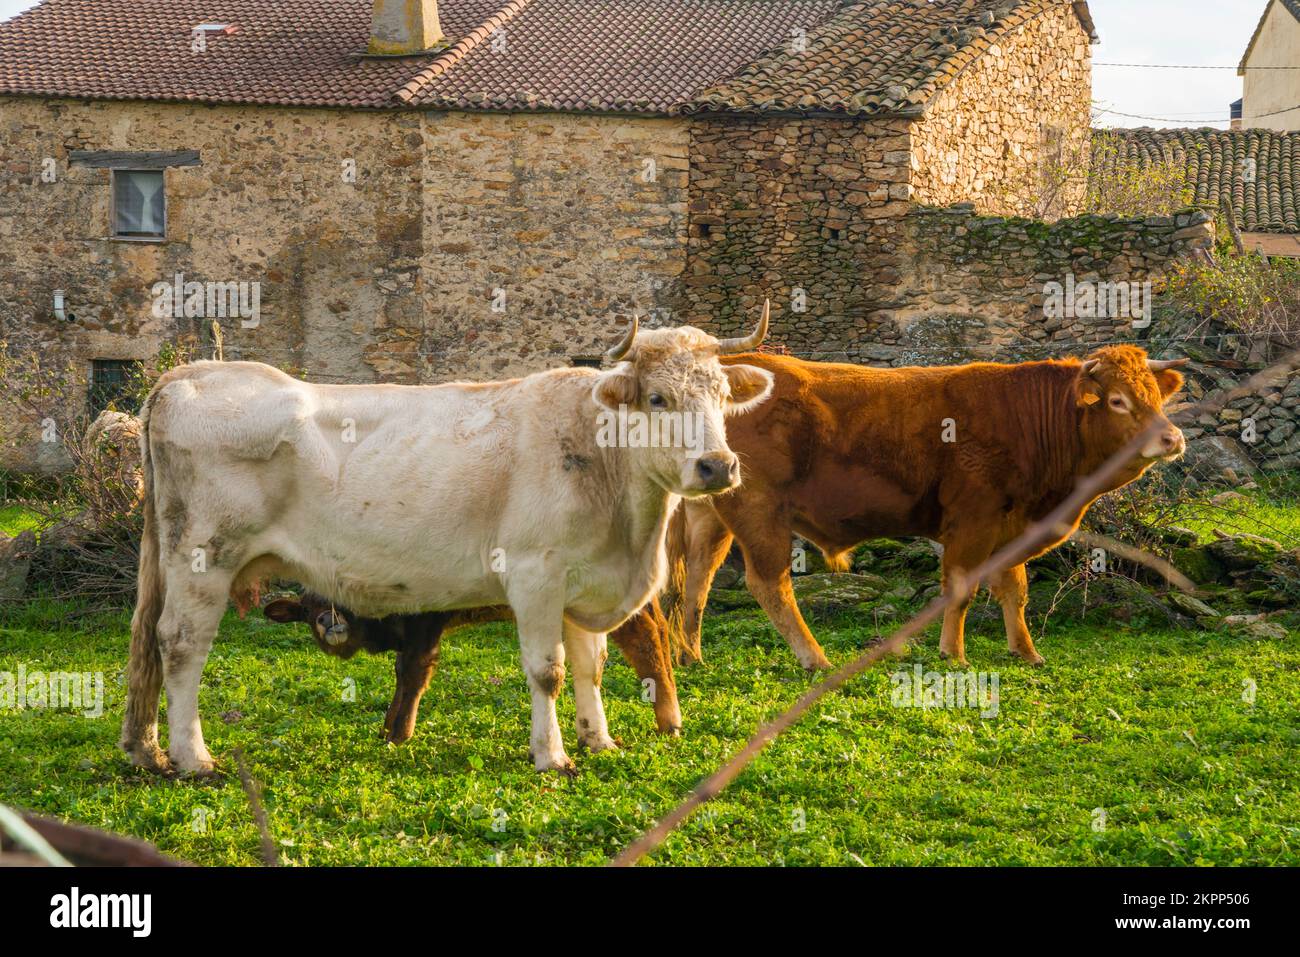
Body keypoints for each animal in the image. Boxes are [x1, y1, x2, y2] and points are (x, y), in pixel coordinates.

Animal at [262, 593, 681, 744]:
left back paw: (669, 720)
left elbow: (414, 671)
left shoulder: (426, 621)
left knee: (646, 638)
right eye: (304, 609)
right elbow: (401, 672)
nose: (326, 621)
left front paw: (399, 733)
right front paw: (387, 724)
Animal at [669, 346, 1187, 670]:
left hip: (712, 513)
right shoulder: (973, 521)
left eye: (1156, 397)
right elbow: (961, 590)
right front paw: (952, 653)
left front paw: (1025, 651)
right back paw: (814, 657)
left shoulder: (1012, 526)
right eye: (1118, 400)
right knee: (769, 584)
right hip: (758, 511)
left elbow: (1014, 590)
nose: (1173, 438)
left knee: (697, 581)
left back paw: (690, 654)